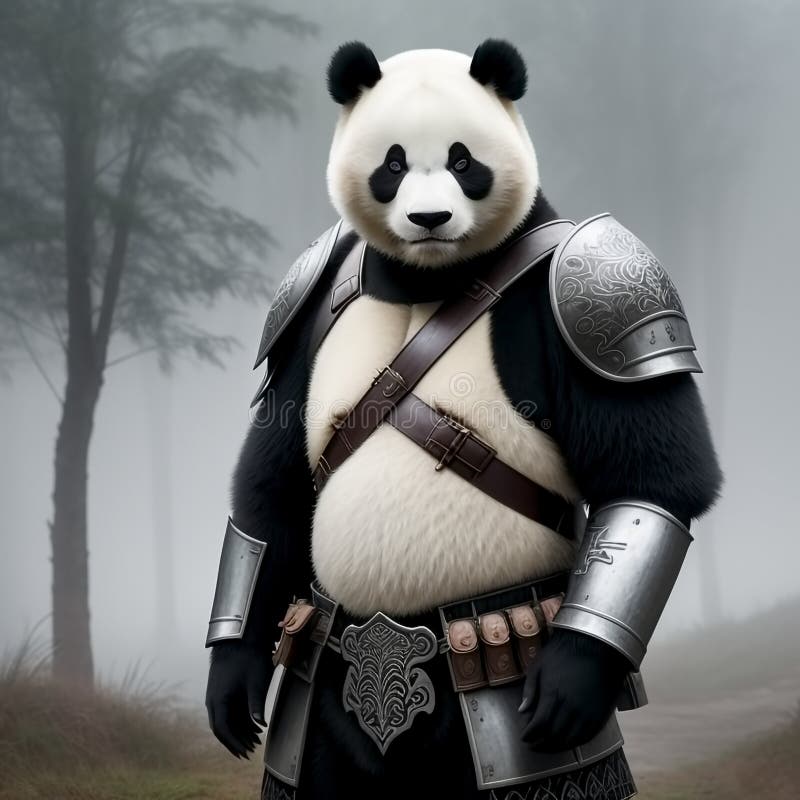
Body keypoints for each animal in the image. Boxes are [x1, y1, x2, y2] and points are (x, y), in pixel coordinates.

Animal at [205, 40, 721, 800]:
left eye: (462, 160)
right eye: (392, 164)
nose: (429, 221)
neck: (427, 278)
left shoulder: (601, 300)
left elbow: (650, 478)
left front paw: (570, 686)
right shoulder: (299, 313)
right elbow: (271, 490)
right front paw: (231, 682)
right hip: (321, 704)